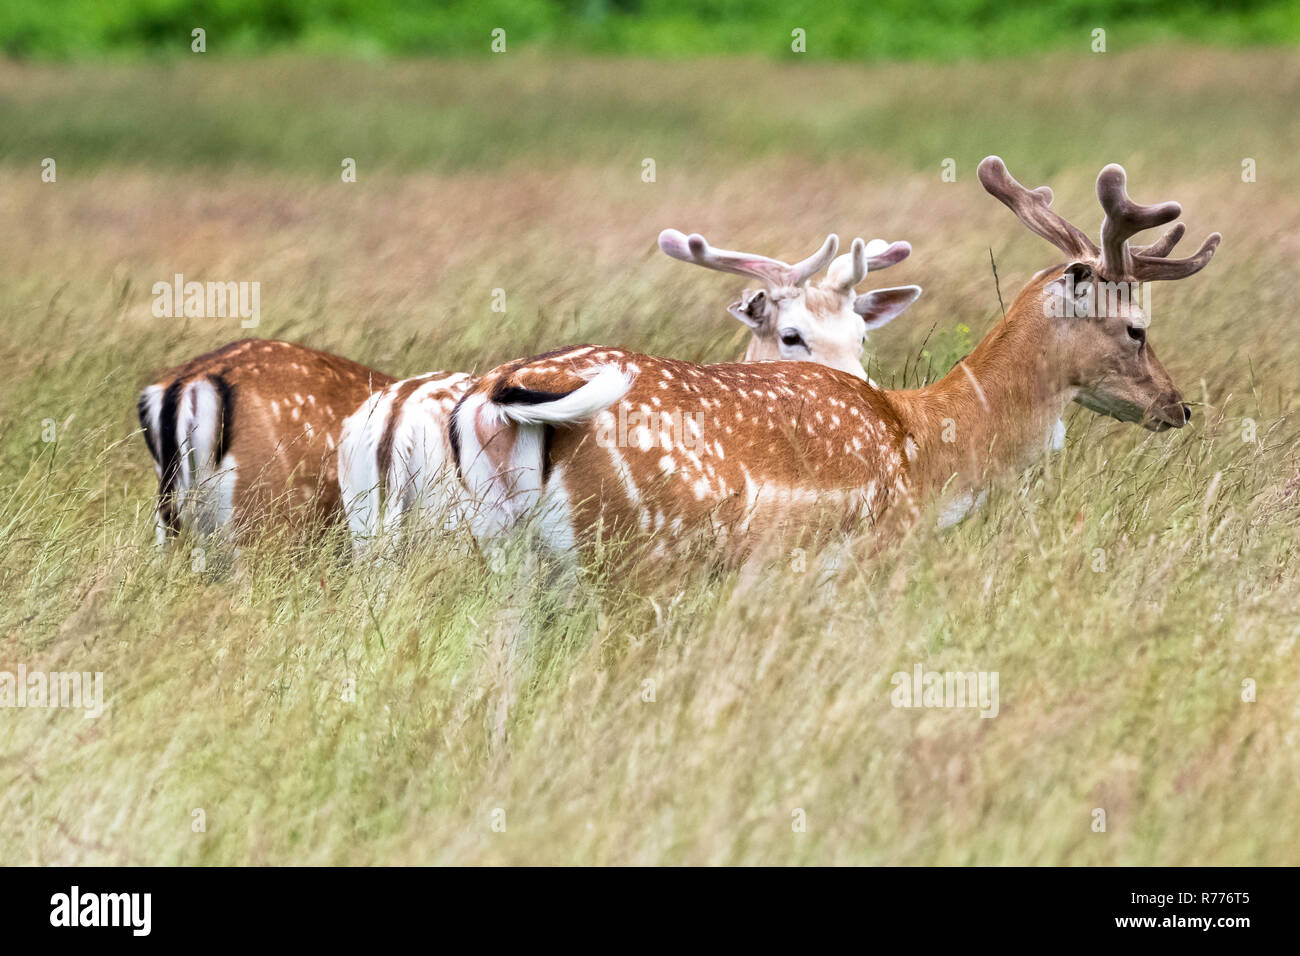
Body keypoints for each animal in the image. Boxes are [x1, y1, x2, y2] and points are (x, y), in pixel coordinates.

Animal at [448, 157, 1220, 562]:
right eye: (1136, 329)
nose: (1178, 407)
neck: (932, 443)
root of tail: (501, 390)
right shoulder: (872, 552)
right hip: (646, 544)